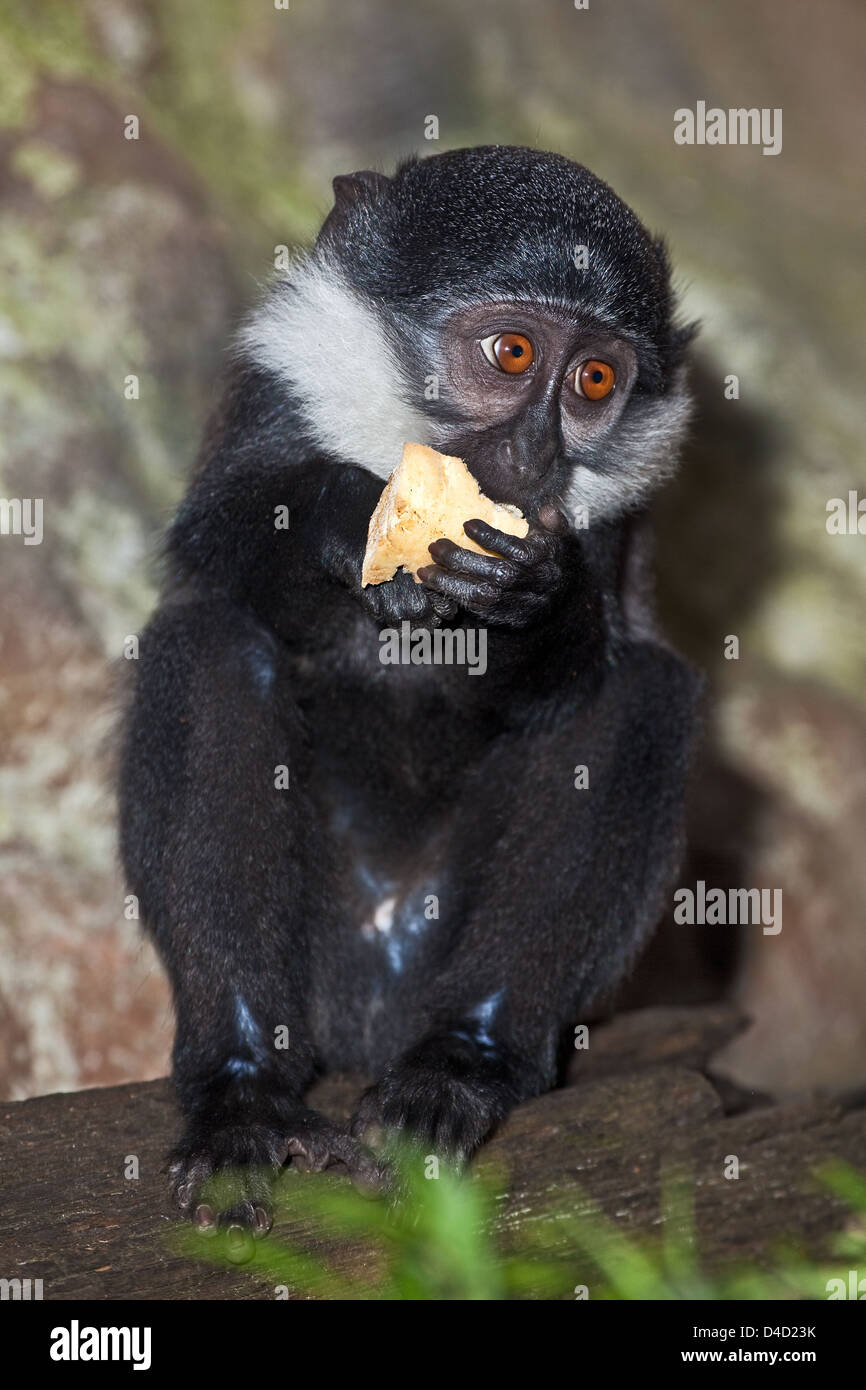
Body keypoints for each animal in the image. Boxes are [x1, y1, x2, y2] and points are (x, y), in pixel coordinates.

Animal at [118, 145, 700, 1241]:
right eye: (512, 353)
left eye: (595, 380)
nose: (532, 457)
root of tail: (369, 1015)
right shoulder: (273, 386)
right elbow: (214, 549)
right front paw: (348, 519)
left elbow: (596, 665)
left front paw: (538, 597)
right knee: (208, 642)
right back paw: (242, 1094)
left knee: (641, 692)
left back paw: (458, 1065)